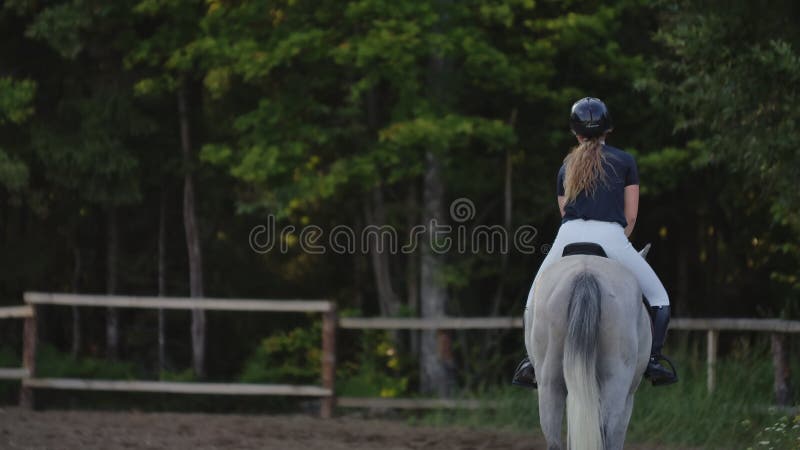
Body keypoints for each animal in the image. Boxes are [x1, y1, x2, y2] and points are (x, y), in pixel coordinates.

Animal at [524, 249, 651, 450]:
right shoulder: (629, 395)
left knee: (553, 437)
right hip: (616, 381)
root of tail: (585, 273)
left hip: (549, 381)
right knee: (607, 432)